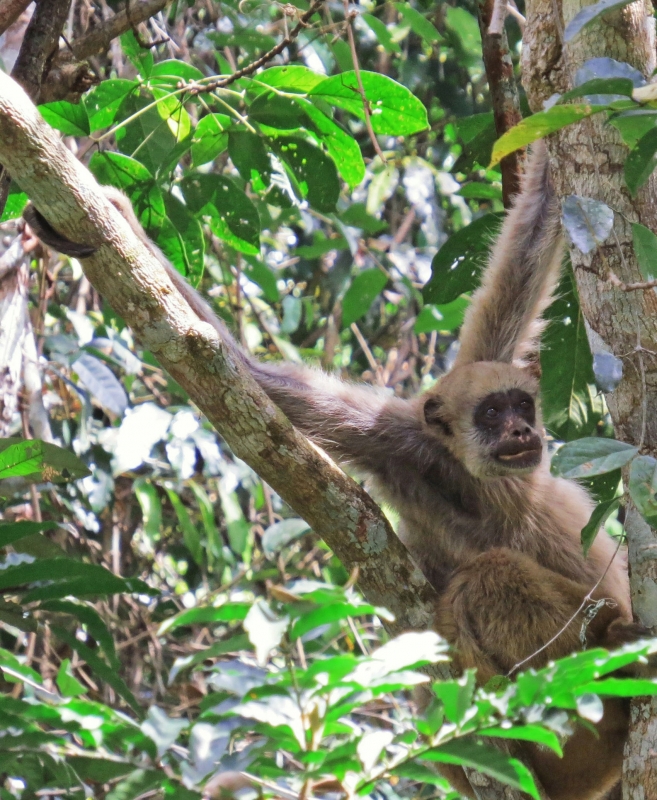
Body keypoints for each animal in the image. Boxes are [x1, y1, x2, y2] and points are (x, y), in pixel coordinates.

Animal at [23, 141, 645, 800]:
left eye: (521, 407)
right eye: (492, 414)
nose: (522, 431)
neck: (476, 483)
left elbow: (532, 235)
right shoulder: (401, 442)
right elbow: (254, 378)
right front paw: (115, 214)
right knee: (481, 583)